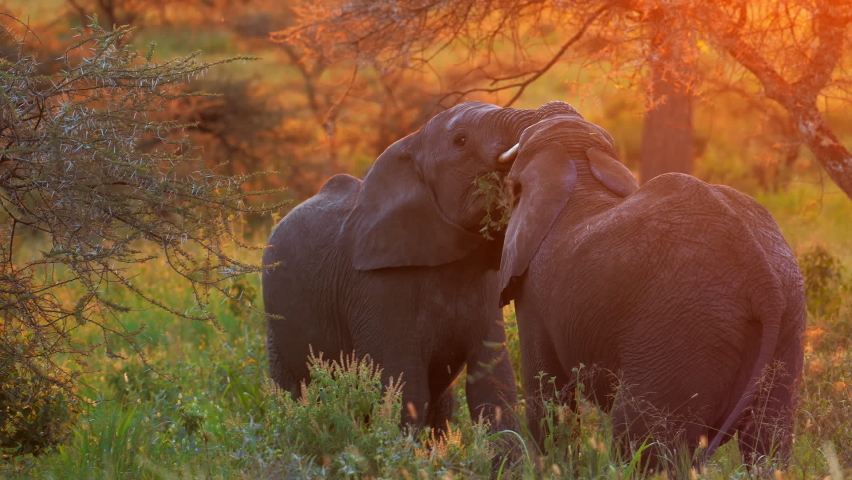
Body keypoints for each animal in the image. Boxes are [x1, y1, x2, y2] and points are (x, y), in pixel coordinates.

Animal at [262, 101, 538, 434]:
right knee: (293, 394)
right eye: (460, 140)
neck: (412, 143)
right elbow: (405, 389)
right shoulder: (375, 289)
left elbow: (492, 385)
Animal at [497, 102, 806, 469]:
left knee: (638, 438)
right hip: (787, 322)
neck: (579, 171)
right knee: (766, 441)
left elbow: (546, 396)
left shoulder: (534, 293)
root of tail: (764, 281)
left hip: (681, 330)